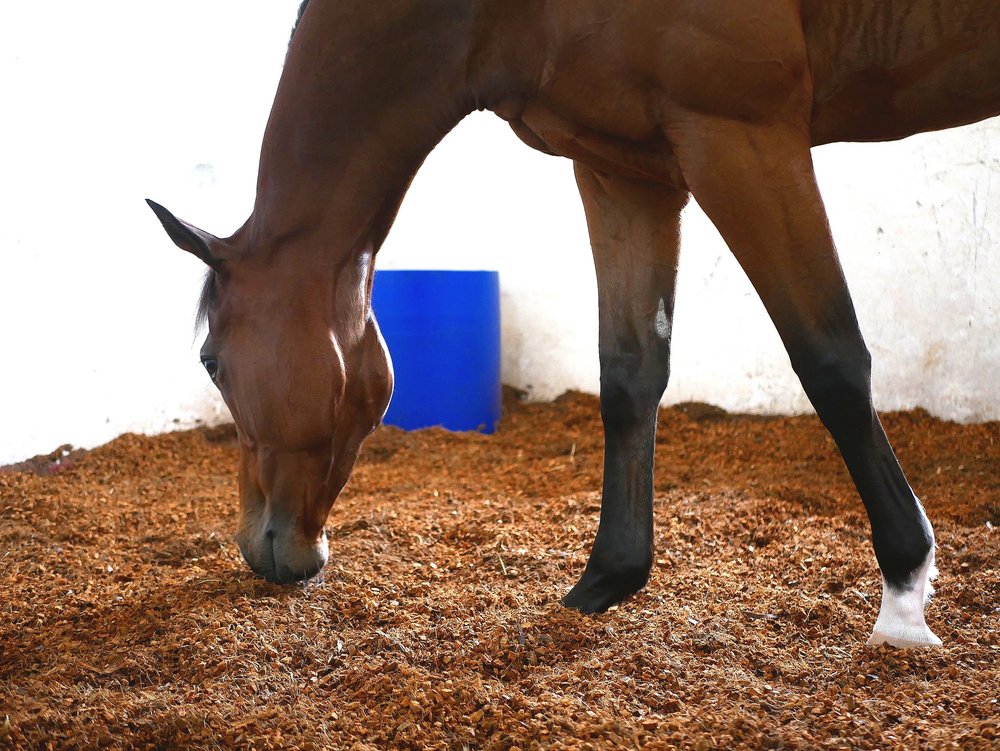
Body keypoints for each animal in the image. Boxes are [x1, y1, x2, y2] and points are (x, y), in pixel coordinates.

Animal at [147, 0, 1000, 648]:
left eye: (212, 361)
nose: (265, 547)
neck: (485, 15)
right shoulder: (624, 165)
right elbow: (629, 375)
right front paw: (608, 578)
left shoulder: (742, 134)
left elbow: (830, 361)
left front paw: (905, 591)